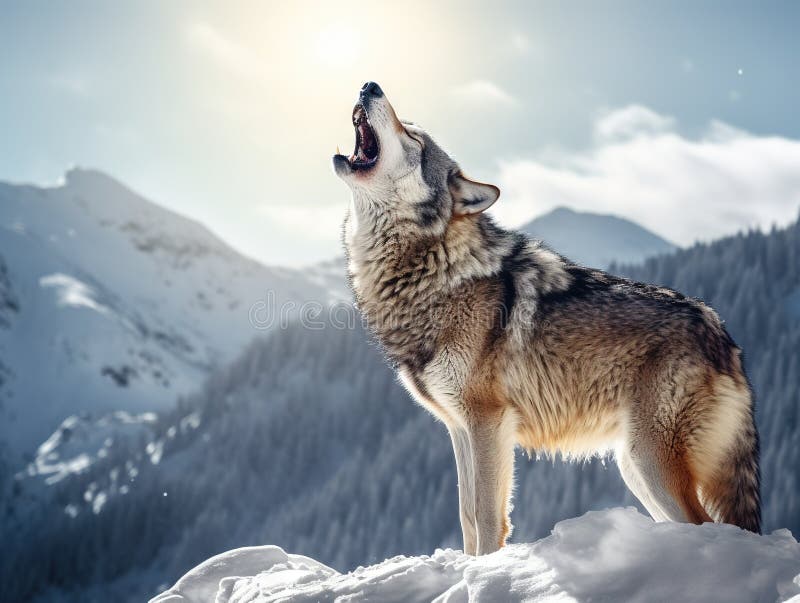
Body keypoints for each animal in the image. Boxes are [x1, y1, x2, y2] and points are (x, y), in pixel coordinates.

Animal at [333, 82, 761, 555]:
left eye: (413, 136)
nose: (370, 85)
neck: (430, 267)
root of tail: (723, 333)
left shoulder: (488, 421)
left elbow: (486, 517)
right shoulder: (458, 428)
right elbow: (466, 518)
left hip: (649, 461)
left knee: (709, 525)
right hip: (634, 466)